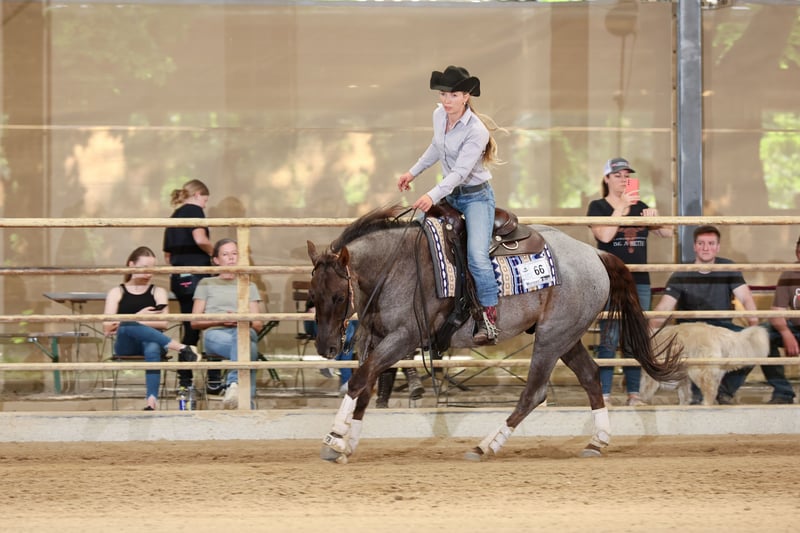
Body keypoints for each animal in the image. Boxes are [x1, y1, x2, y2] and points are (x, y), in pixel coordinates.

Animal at [307, 205, 685, 463]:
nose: (326, 347)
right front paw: (348, 442)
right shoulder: (373, 338)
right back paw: (597, 441)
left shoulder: (403, 338)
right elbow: (366, 385)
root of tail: (594, 252)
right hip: (567, 336)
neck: (396, 267)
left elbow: (360, 380)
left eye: (338, 296)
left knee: (534, 393)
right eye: (312, 295)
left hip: (551, 338)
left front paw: (335, 437)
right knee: (591, 377)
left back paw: (486, 445)